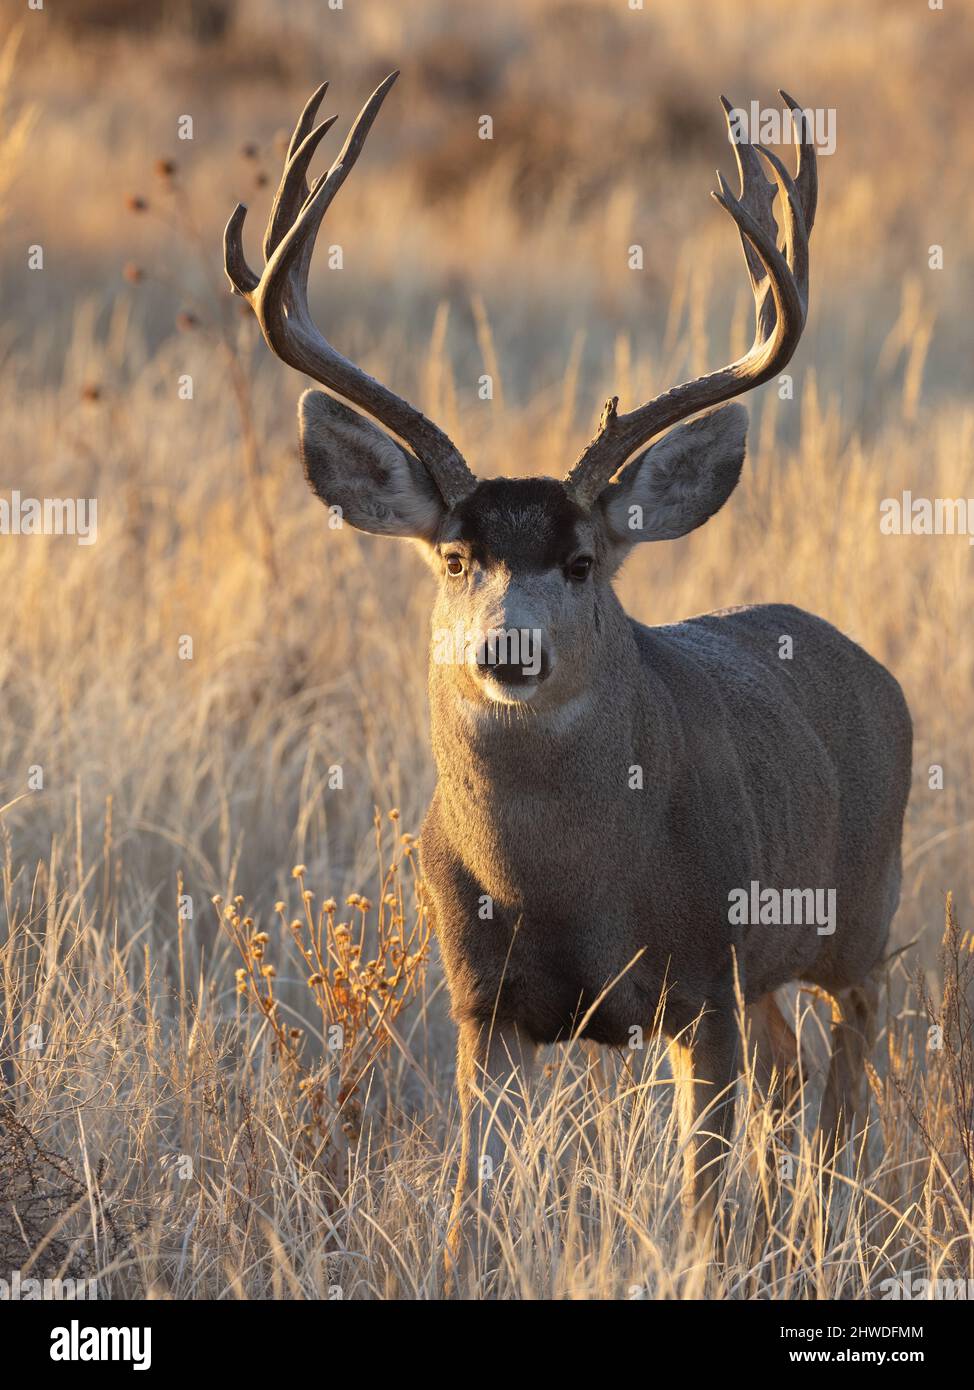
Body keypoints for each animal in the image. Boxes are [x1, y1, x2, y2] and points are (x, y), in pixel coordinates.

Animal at [224, 73, 912, 1265]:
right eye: (456, 556)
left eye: (583, 560)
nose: (509, 647)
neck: (566, 878)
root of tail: (869, 666)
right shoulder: (481, 1001)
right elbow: (471, 1200)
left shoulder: (701, 978)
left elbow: (697, 1204)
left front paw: (704, 1265)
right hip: (772, 971)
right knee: (791, 1075)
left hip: (858, 920)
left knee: (844, 1094)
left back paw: (825, 1232)